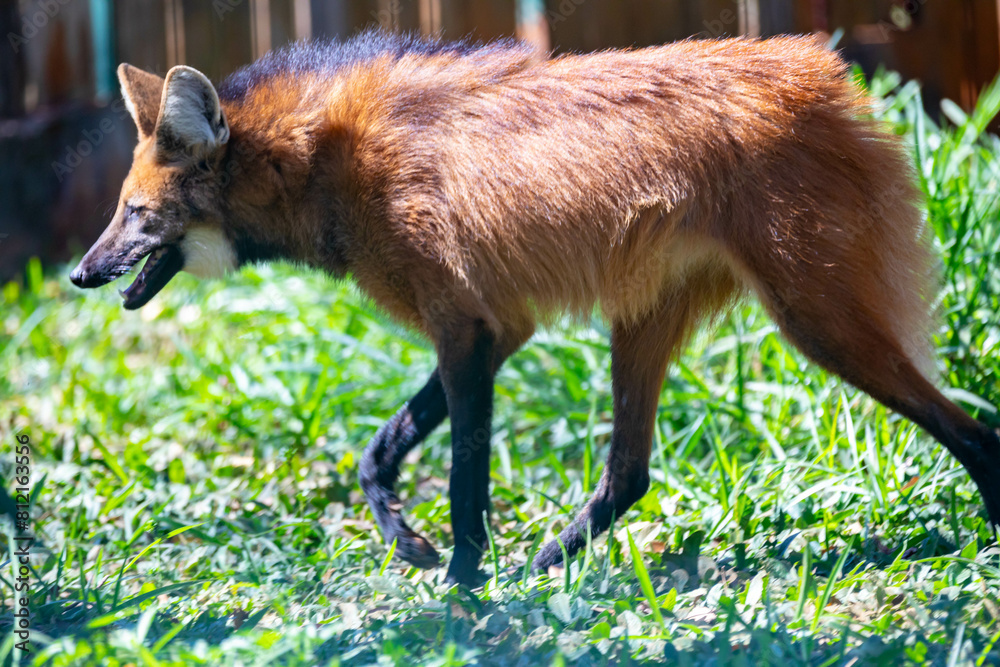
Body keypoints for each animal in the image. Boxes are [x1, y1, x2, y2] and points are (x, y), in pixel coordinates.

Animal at [70, 31, 1000, 586]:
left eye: (135, 214)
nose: (79, 274)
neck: (324, 163)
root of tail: (828, 78)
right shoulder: (493, 326)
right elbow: (379, 454)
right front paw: (420, 550)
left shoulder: (467, 329)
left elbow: (461, 478)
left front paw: (461, 586)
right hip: (647, 315)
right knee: (629, 472)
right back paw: (549, 563)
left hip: (816, 319)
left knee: (975, 430)